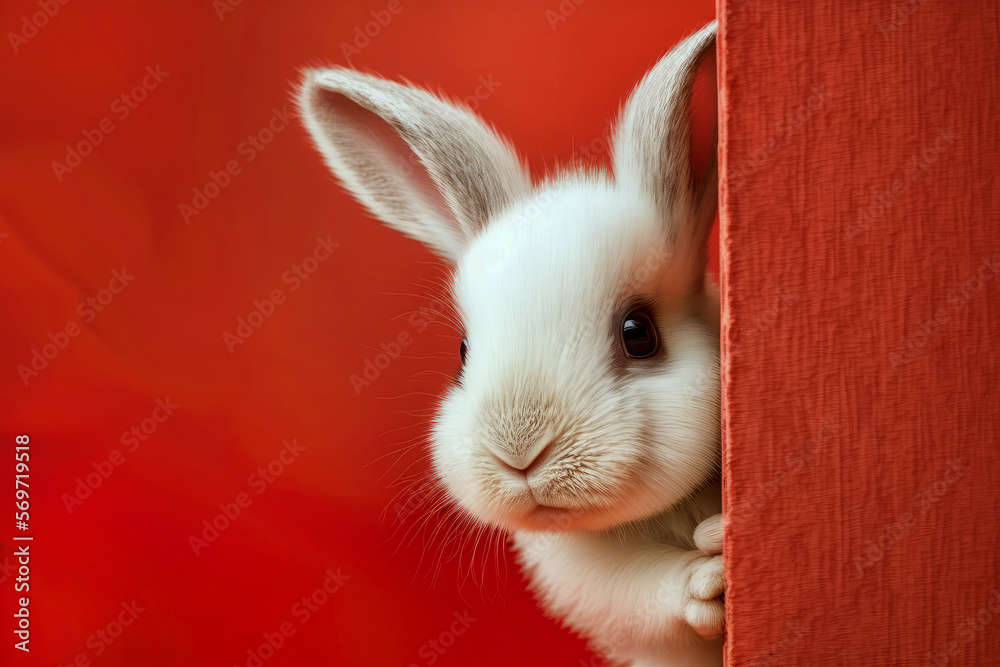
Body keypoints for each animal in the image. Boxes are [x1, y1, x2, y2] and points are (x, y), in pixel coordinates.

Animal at [298, 21, 723, 667]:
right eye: (464, 352)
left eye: (639, 333)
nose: (519, 451)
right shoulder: (583, 573)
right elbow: (641, 593)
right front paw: (705, 579)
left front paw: (719, 540)